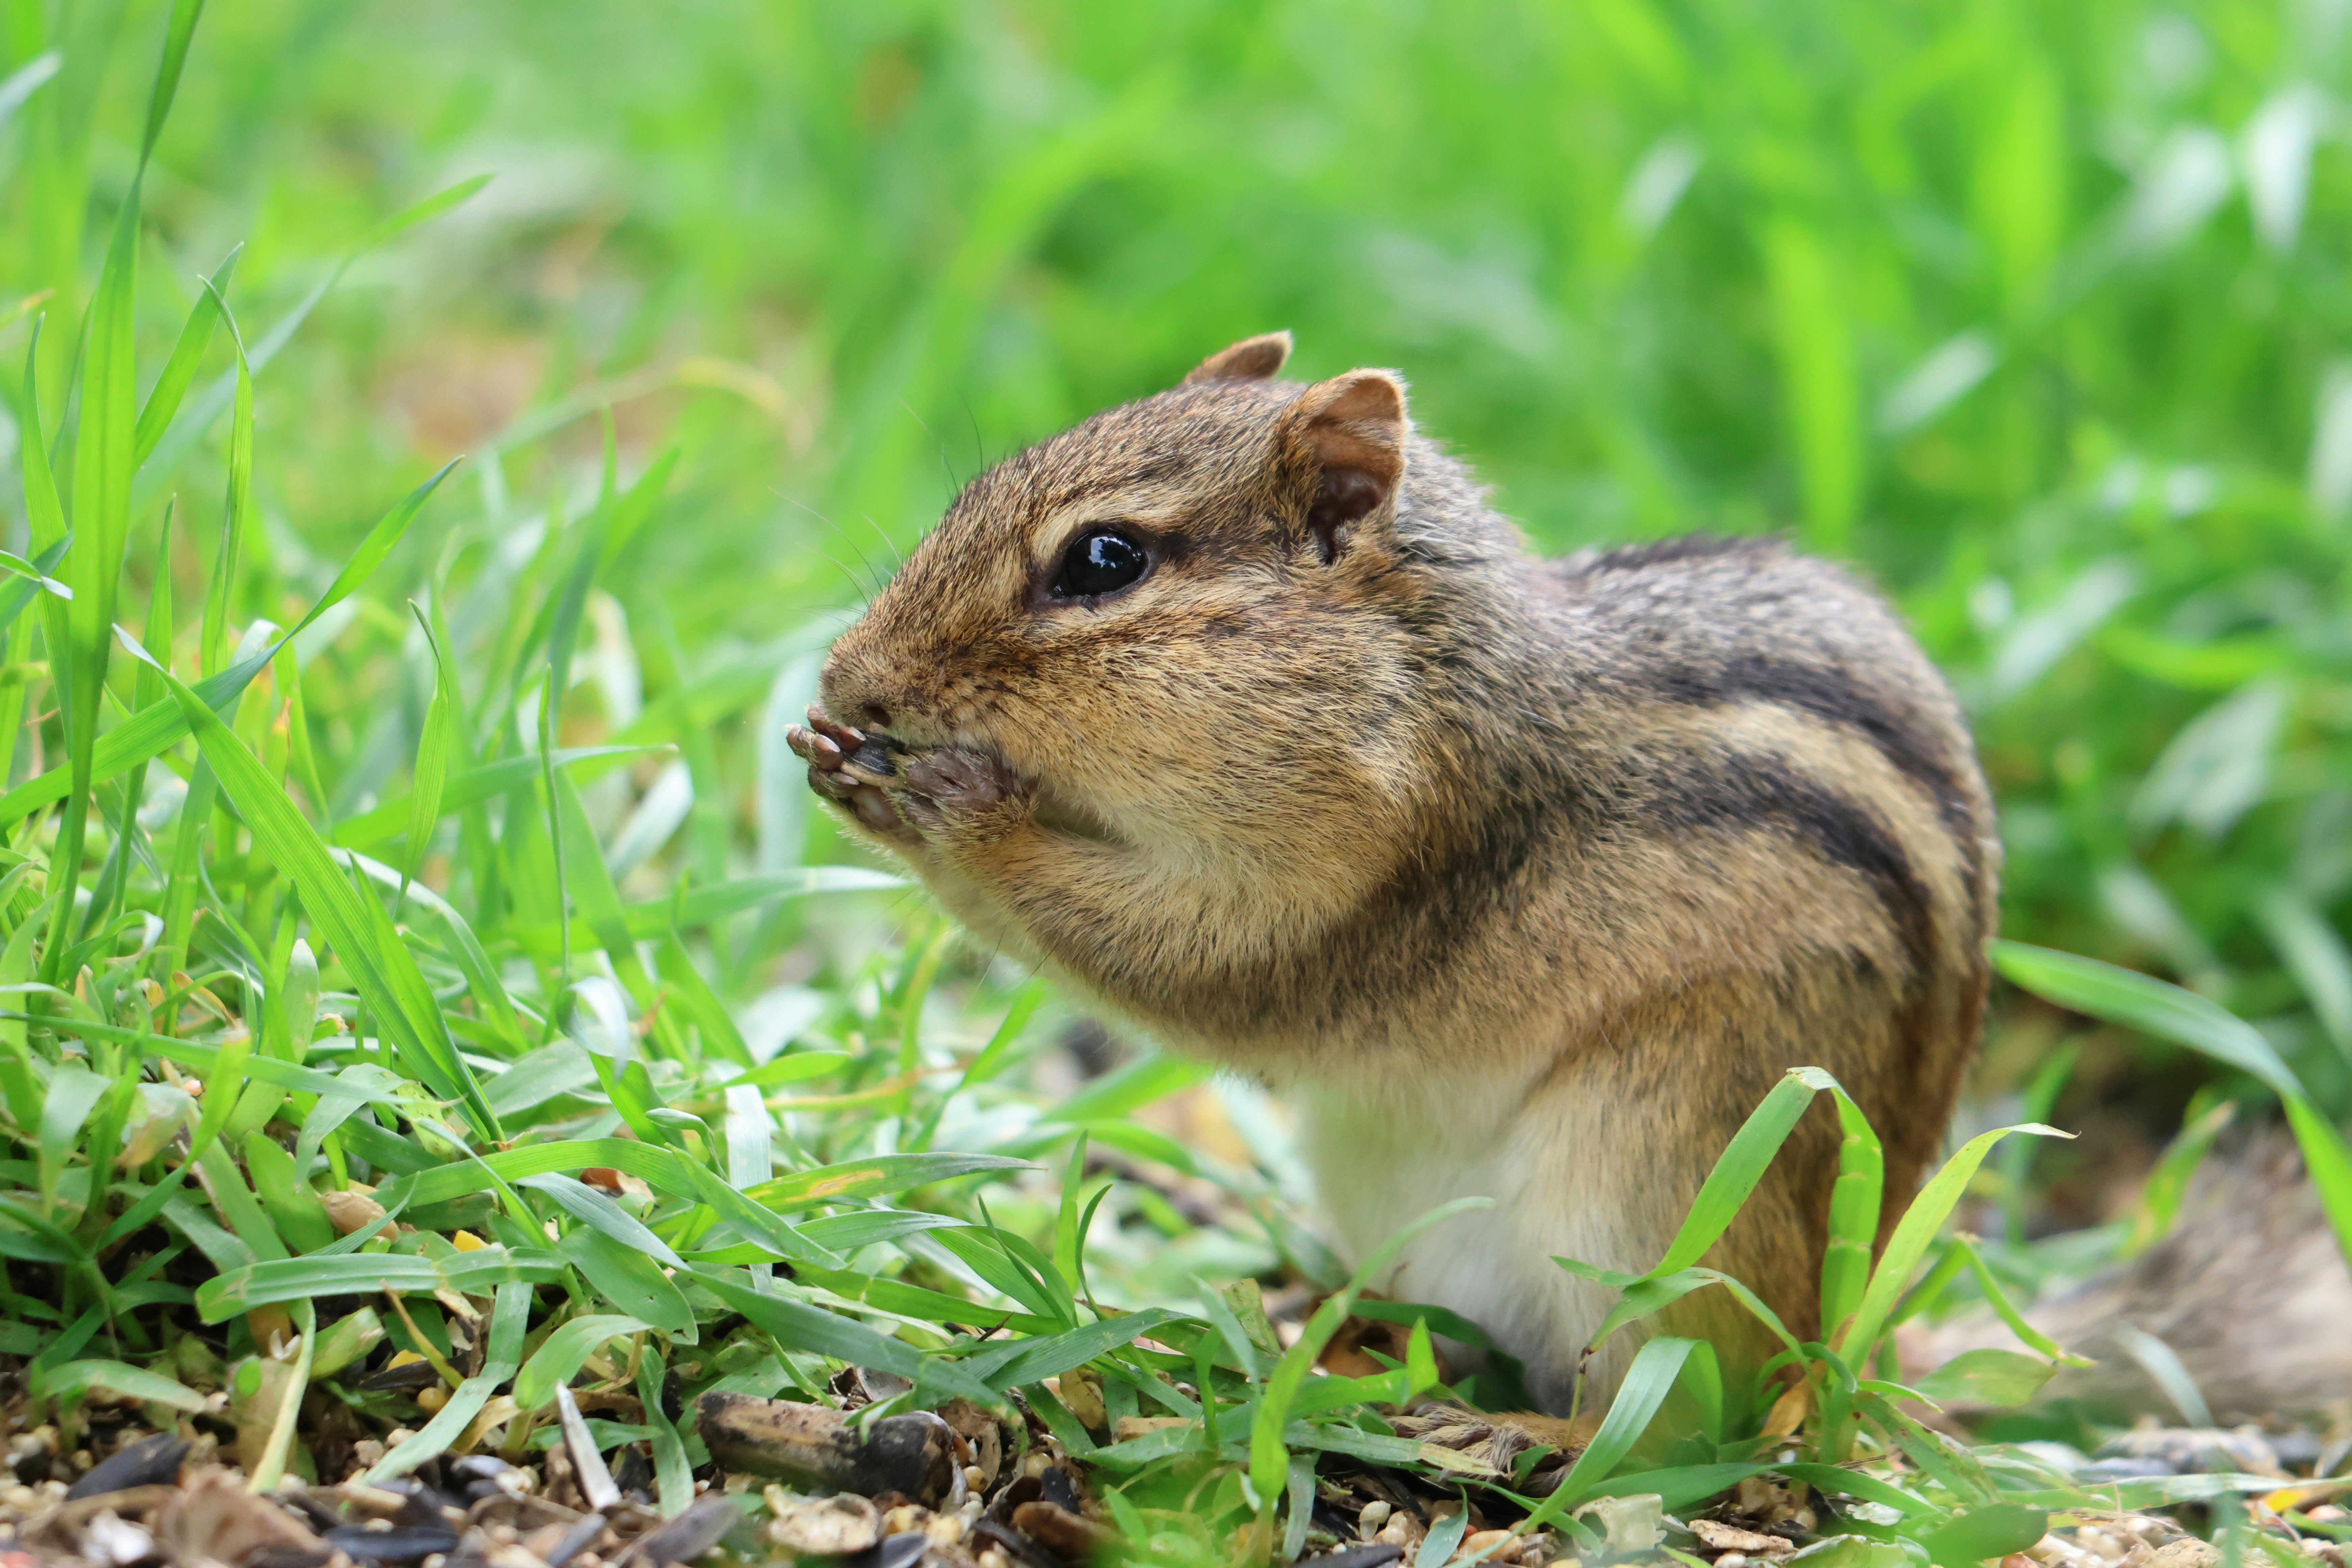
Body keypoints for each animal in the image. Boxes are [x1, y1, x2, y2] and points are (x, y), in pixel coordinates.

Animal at [787, 331, 2004, 1429]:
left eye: (1104, 560)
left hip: (1657, 1175)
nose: (848, 677)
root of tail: (1845, 1337)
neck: (1427, 682)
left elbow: (1176, 966)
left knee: (1678, 1415)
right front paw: (837, 757)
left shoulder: (1345, 894)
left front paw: (950, 808)